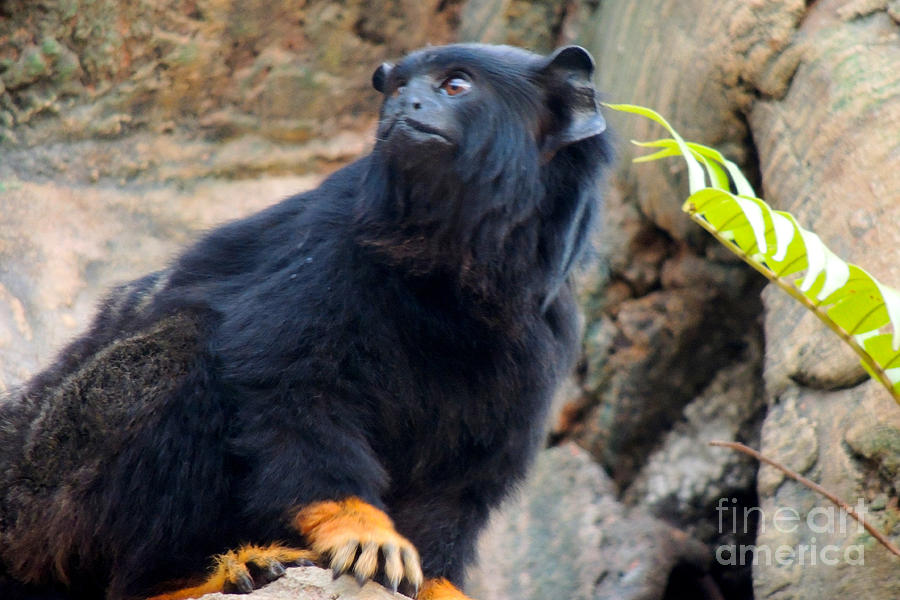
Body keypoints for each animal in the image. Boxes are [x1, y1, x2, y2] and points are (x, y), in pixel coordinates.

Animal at [0, 43, 611, 600]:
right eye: (398, 88)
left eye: (455, 86)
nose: (404, 105)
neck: (450, 277)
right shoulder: (330, 240)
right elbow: (288, 381)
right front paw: (362, 529)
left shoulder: (547, 331)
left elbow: (463, 479)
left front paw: (439, 583)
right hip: (46, 484)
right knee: (184, 347)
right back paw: (187, 578)